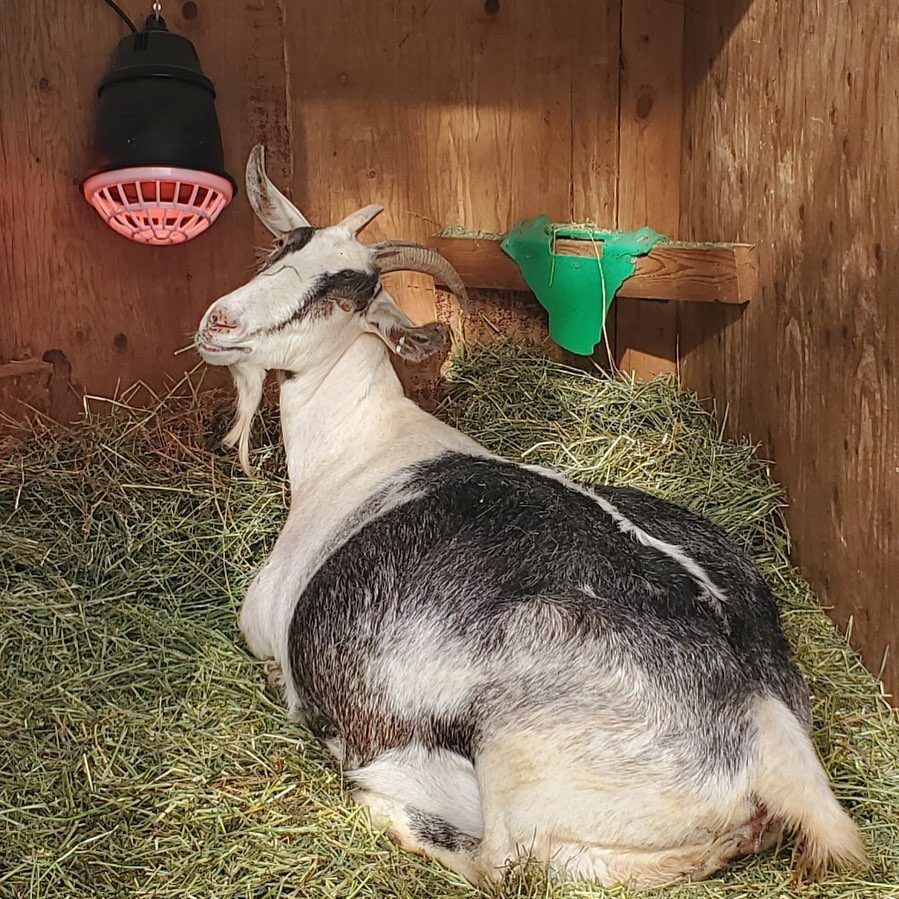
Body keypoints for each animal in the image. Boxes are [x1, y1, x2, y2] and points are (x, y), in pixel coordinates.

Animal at [195, 145, 865, 889]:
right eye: (274, 255)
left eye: (340, 293)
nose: (219, 322)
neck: (362, 443)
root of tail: (766, 721)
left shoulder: (262, 619)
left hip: (513, 754)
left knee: (501, 860)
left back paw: (385, 803)